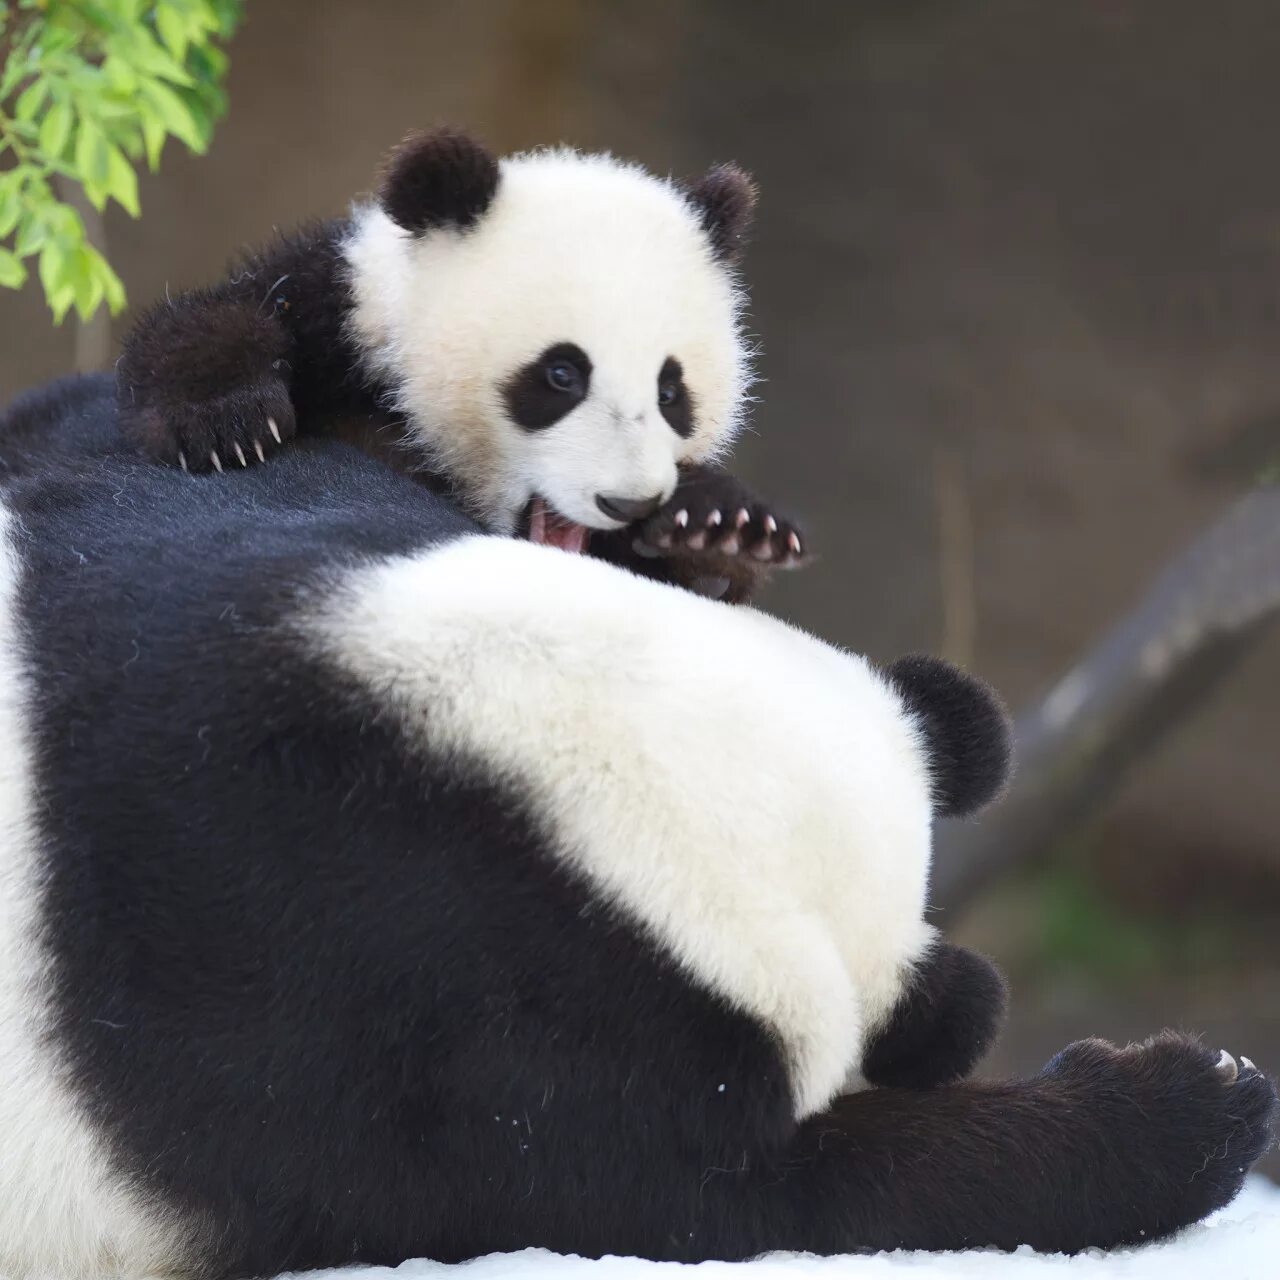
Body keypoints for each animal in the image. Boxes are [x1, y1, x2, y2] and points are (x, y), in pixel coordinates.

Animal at [115, 128, 803, 604]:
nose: (628, 503)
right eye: (561, 375)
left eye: (670, 392)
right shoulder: (340, 311)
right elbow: (216, 318)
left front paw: (719, 525)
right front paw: (228, 422)